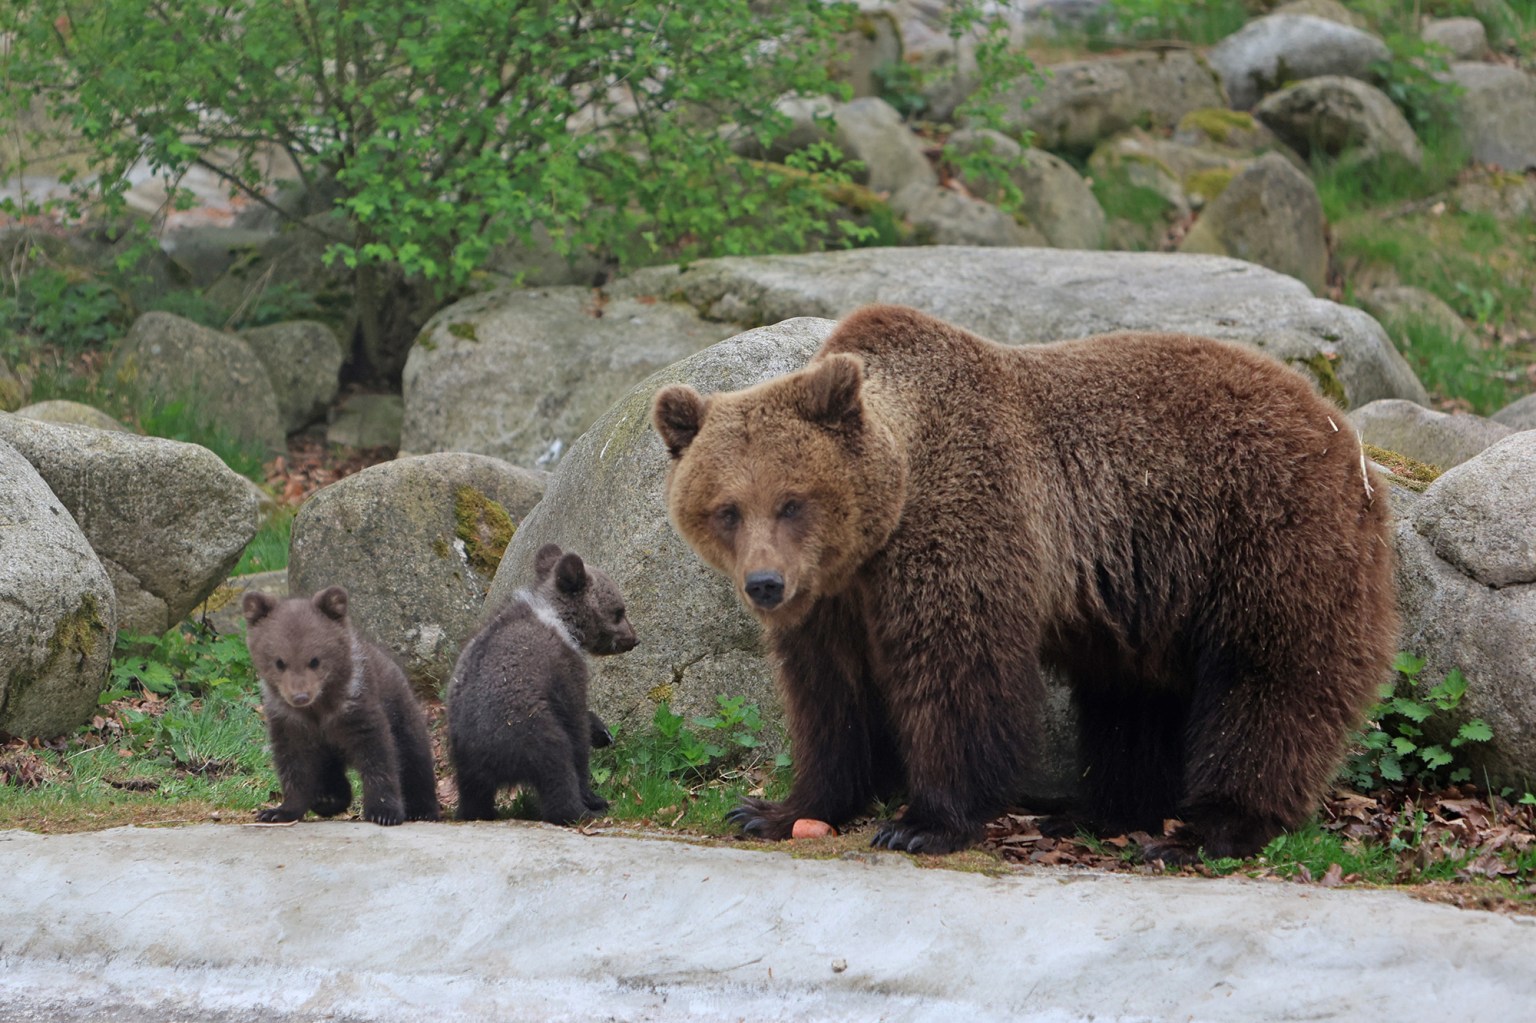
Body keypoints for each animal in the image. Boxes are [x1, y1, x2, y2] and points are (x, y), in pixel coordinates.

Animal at [243, 587, 440, 826]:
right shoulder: (289, 722)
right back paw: (327, 799)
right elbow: (293, 764)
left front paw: (384, 811)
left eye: (315, 660)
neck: (319, 709)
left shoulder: (357, 710)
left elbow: (379, 757)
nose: (300, 696)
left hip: (401, 710)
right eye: (280, 662)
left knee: (414, 755)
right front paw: (278, 811)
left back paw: (422, 809)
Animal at [447, 543, 638, 824]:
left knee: (474, 794)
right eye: (619, 611)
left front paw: (603, 731)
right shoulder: (563, 668)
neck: (562, 622)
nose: (634, 639)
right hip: (527, 731)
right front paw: (593, 795)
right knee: (556, 768)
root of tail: (485, 758)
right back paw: (583, 811)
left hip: (463, 759)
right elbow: (576, 722)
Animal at [651, 303, 1397, 861]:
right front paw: (773, 809)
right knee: (1132, 701)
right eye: (726, 508)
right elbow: (832, 699)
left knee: (1269, 677)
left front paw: (922, 822)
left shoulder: (964, 524)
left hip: (1262, 532)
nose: (765, 583)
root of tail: (1341, 426)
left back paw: (1206, 827)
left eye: (792, 501)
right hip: (1152, 596)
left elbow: (959, 676)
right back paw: (1105, 812)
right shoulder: (834, 602)